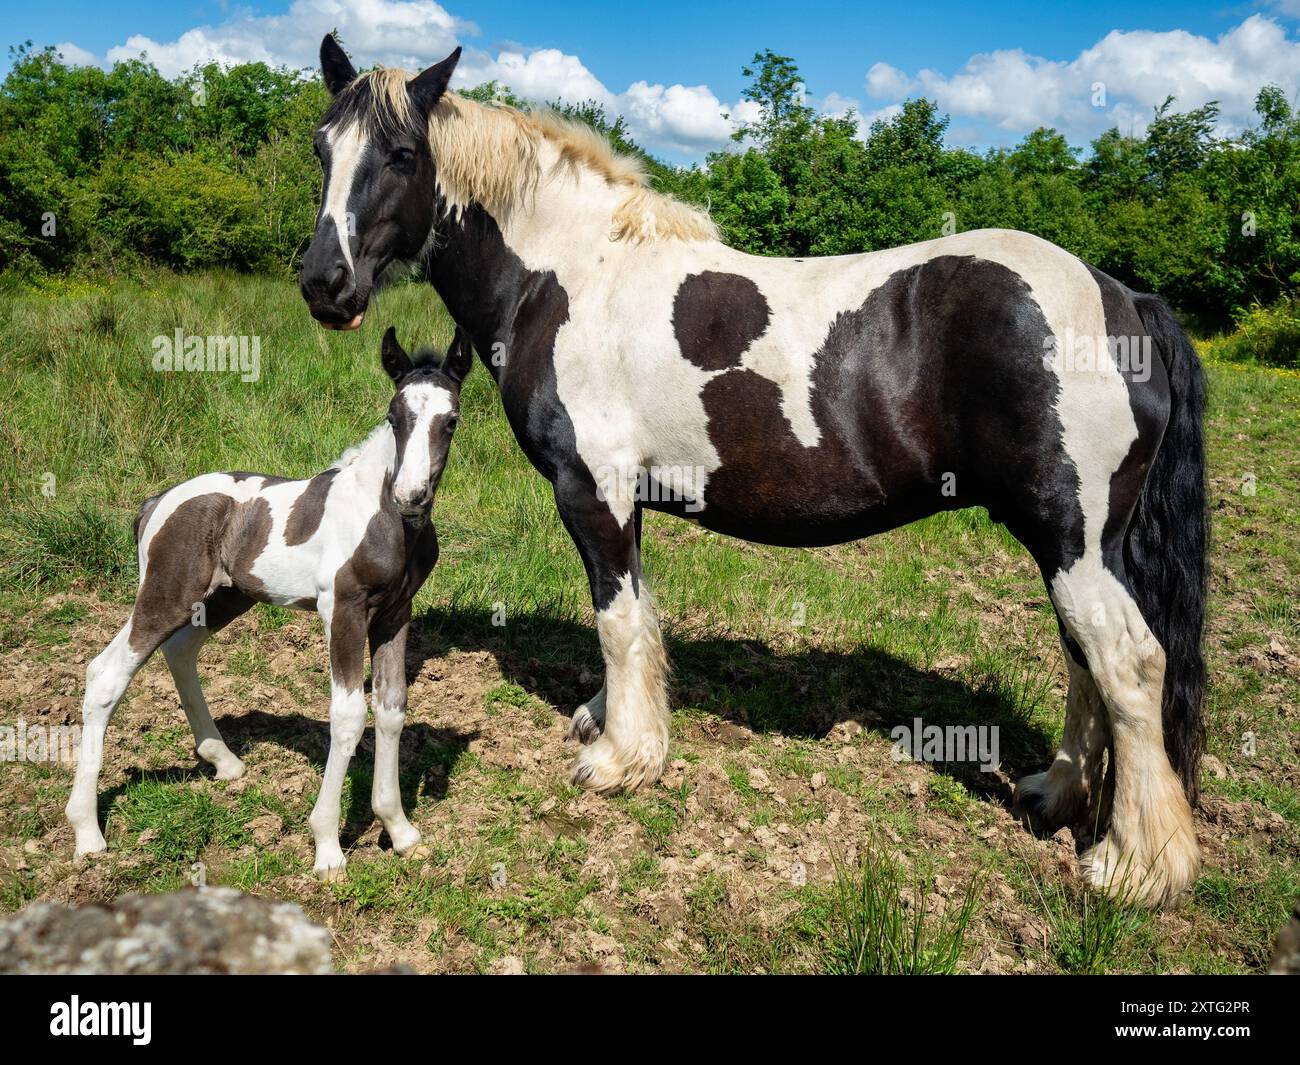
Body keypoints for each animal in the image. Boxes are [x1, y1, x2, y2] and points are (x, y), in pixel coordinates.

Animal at [65, 327, 471, 879]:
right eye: (394, 416)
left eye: (450, 421)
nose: (411, 497)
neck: (384, 517)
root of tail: (157, 502)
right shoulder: (343, 611)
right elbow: (348, 717)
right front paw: (327, 848)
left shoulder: (394, 614)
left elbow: (391, 709)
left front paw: (401, 831)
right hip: (168, 594)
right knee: (107, 673)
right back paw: (87, 831)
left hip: (226, 598)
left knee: (180, 652)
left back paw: (225, 762)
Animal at [297, 39, 1209, 906]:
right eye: (321, 147)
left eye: (402, 154)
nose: (324, 283)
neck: (570, 277)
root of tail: (1124, 300)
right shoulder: (623, 499)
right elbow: (633, 616)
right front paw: (610, 721)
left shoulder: (592, 491)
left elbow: (617, 618)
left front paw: (620, 758)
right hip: (1069, 546)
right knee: (1085, 659)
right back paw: (1055, 792)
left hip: (1072, 539)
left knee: (1129, 663)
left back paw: (1135, 864)